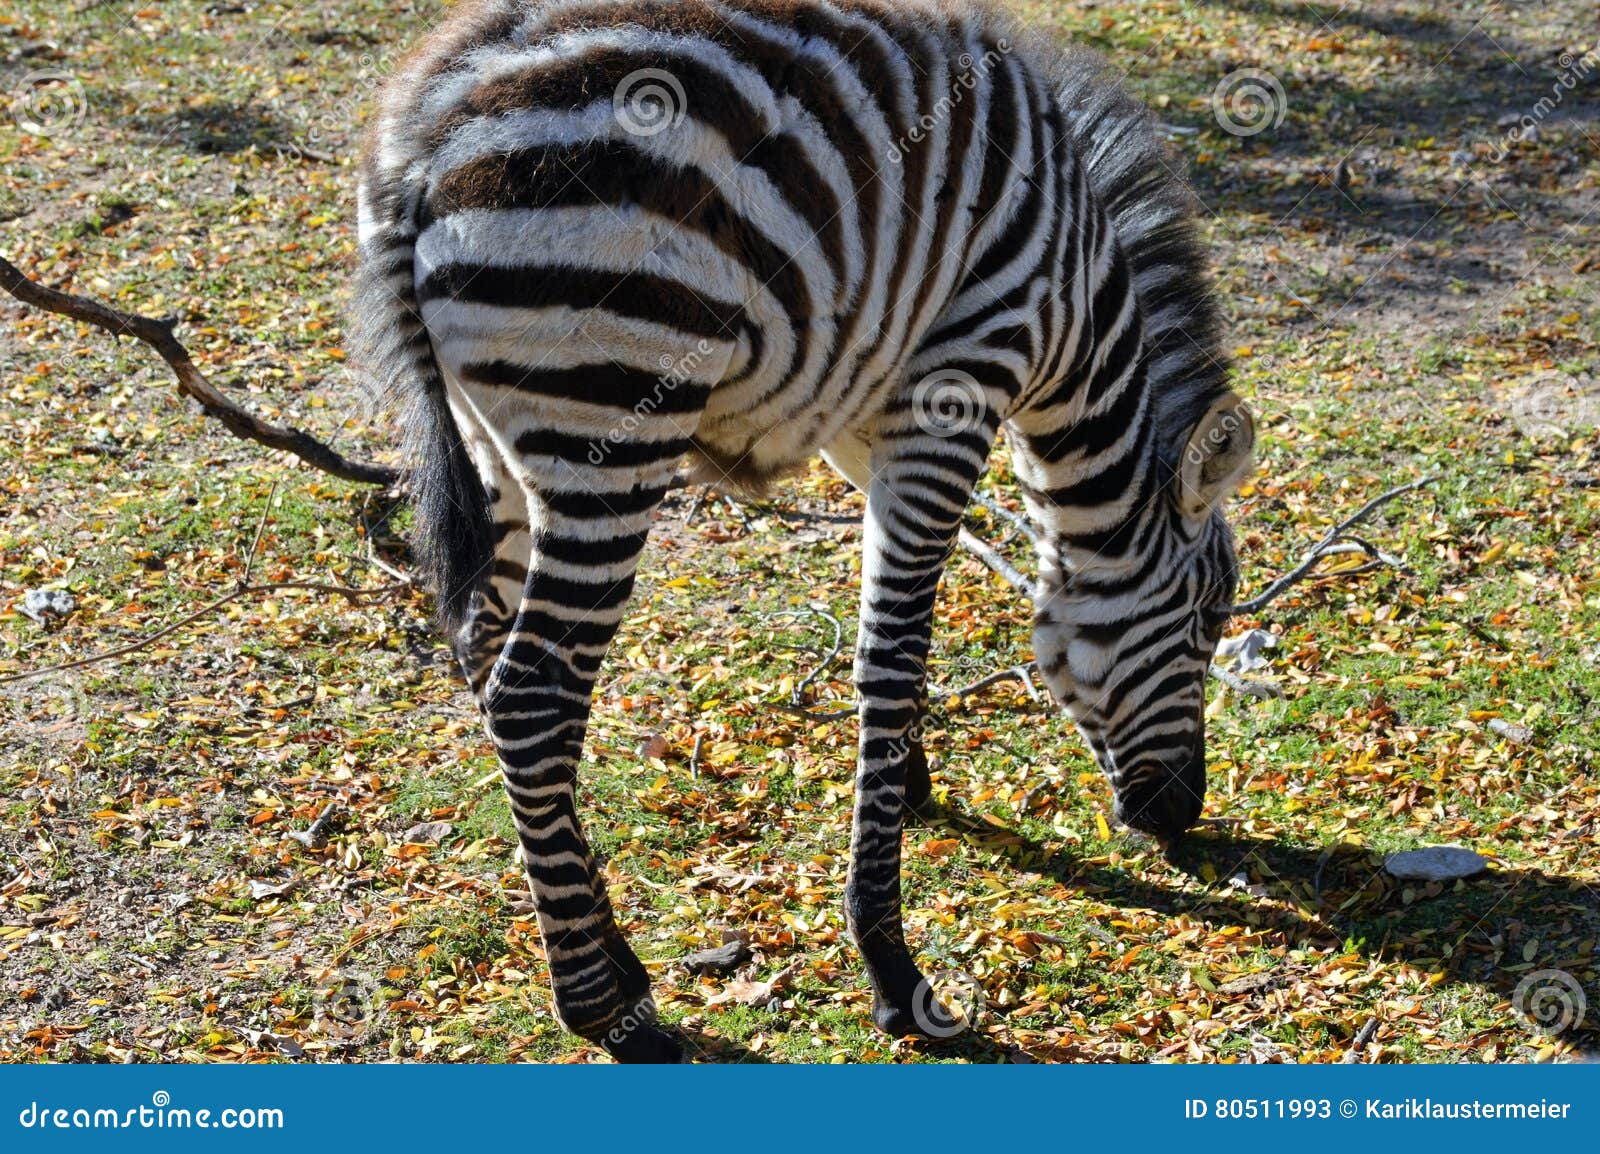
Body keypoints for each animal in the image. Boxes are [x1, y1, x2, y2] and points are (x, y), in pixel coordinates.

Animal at [353, 0, 1255, 1062]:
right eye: (1205, 624)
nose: (1182, 816)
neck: (1074, 300)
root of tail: (416, 143)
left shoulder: (872, 402)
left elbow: (890, 630)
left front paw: (911, 782)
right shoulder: (965, 373)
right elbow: (892, 655)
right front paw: (892, 966)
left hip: (497, 439)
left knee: (486, 659)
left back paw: (616, 958)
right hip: (610, 413)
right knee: (535, 695)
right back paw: (604, 1007)